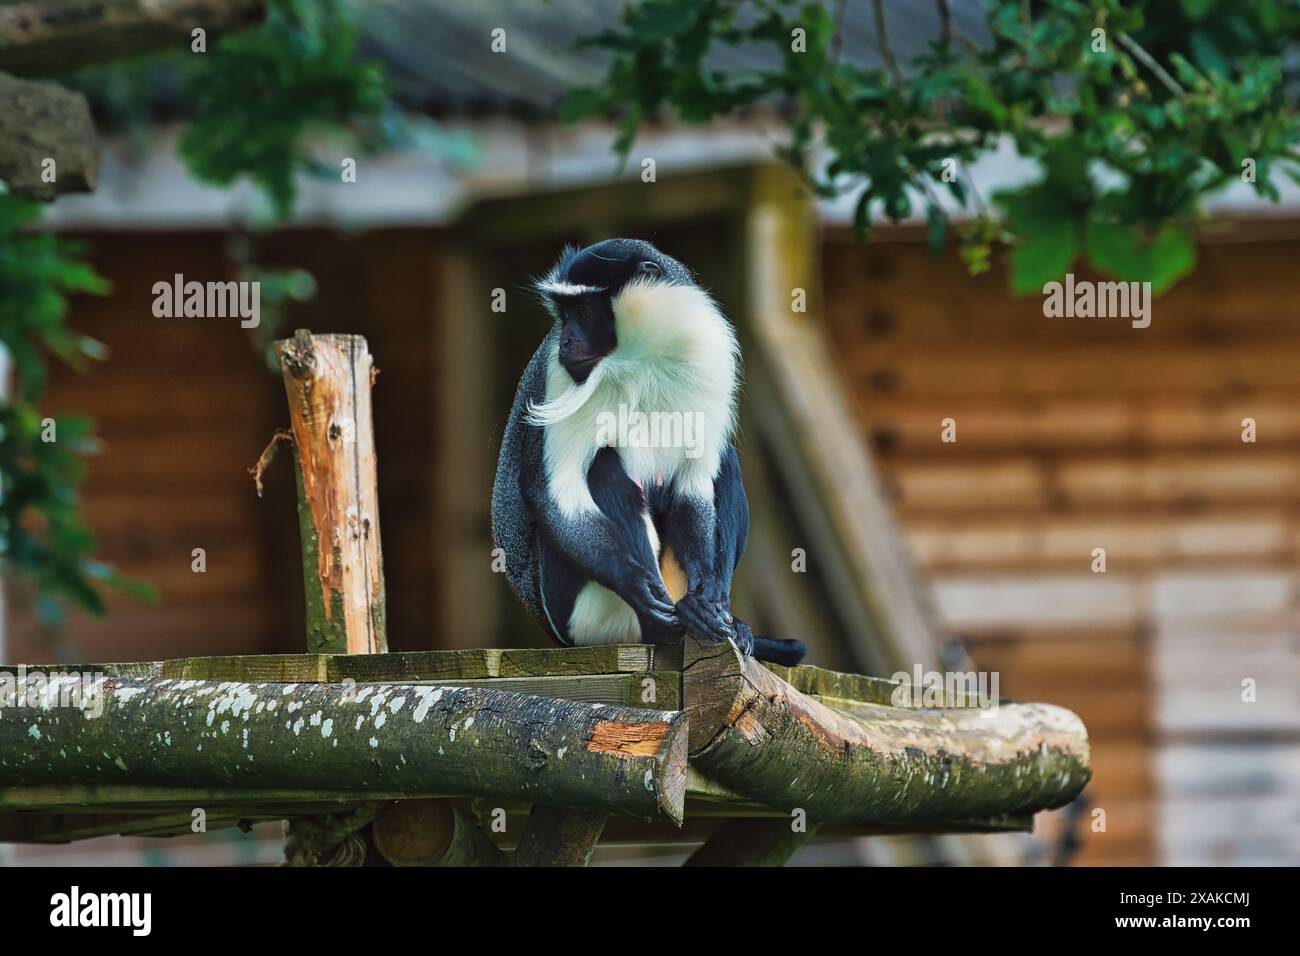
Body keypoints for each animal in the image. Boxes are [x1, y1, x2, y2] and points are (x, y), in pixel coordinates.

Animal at [491, 238, 806, 666]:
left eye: (583, 311)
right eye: (564, 315)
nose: (566, 341)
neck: (641, 356)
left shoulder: (710, 349)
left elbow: (695, 482)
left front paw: (709, 599)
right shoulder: (558, 374)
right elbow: (557, 491)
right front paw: (635, 582)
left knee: (725, 461)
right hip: (582, 613)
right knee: (602, 466)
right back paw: (665, 625)